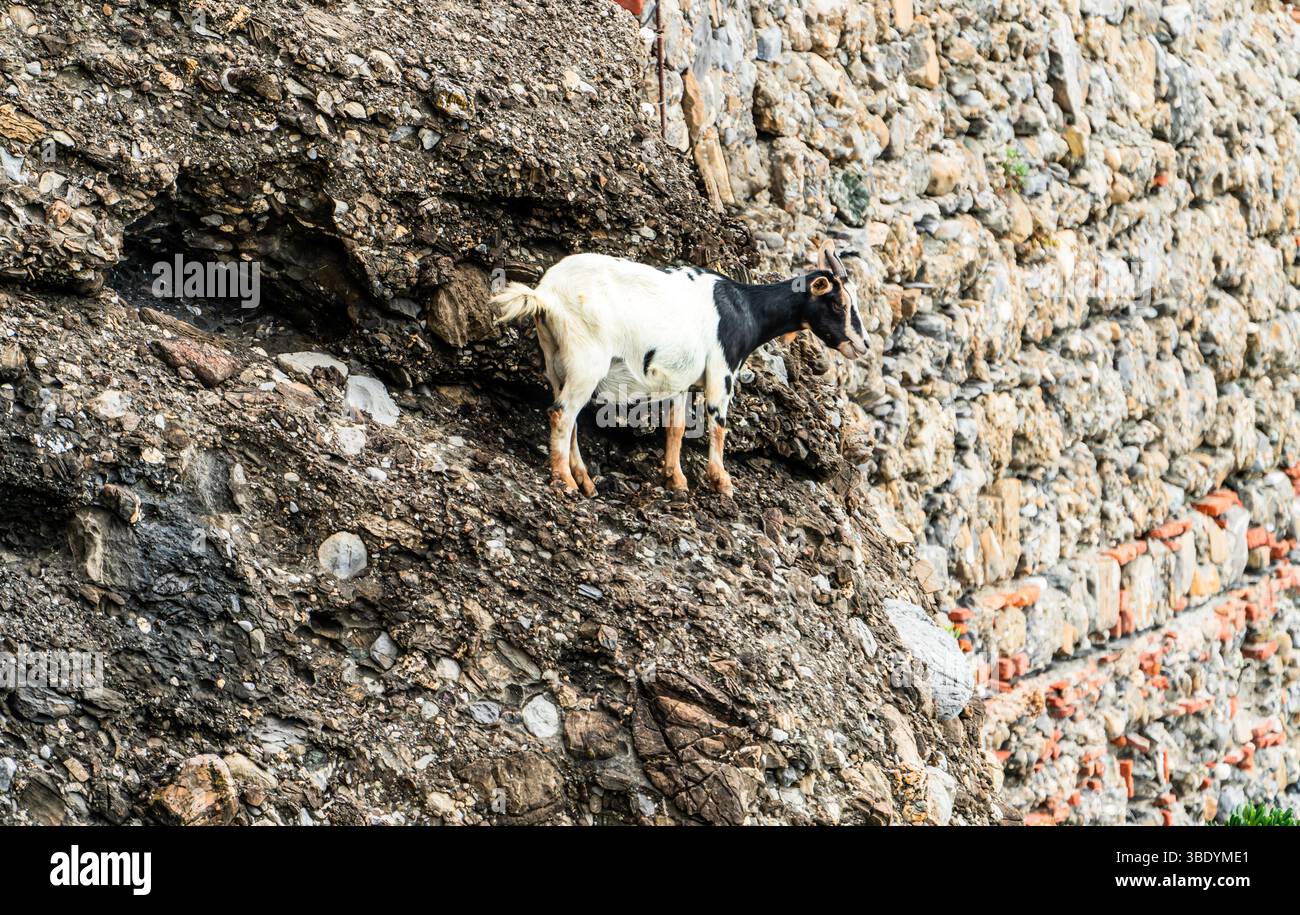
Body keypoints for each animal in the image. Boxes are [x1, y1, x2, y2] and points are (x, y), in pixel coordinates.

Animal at [492, 240, 867, 497]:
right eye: (838, 304)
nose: (862, 345)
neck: (744, 308)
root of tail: (547, 295)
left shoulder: (680, 380)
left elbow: (675, 427)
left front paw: (676, 479)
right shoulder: (721, 371)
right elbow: (717, 424)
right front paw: (722, 482)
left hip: (556, 360)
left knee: (567, 415)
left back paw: (584, 479)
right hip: (587, 358)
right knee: (562, 414)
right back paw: (566, 481)